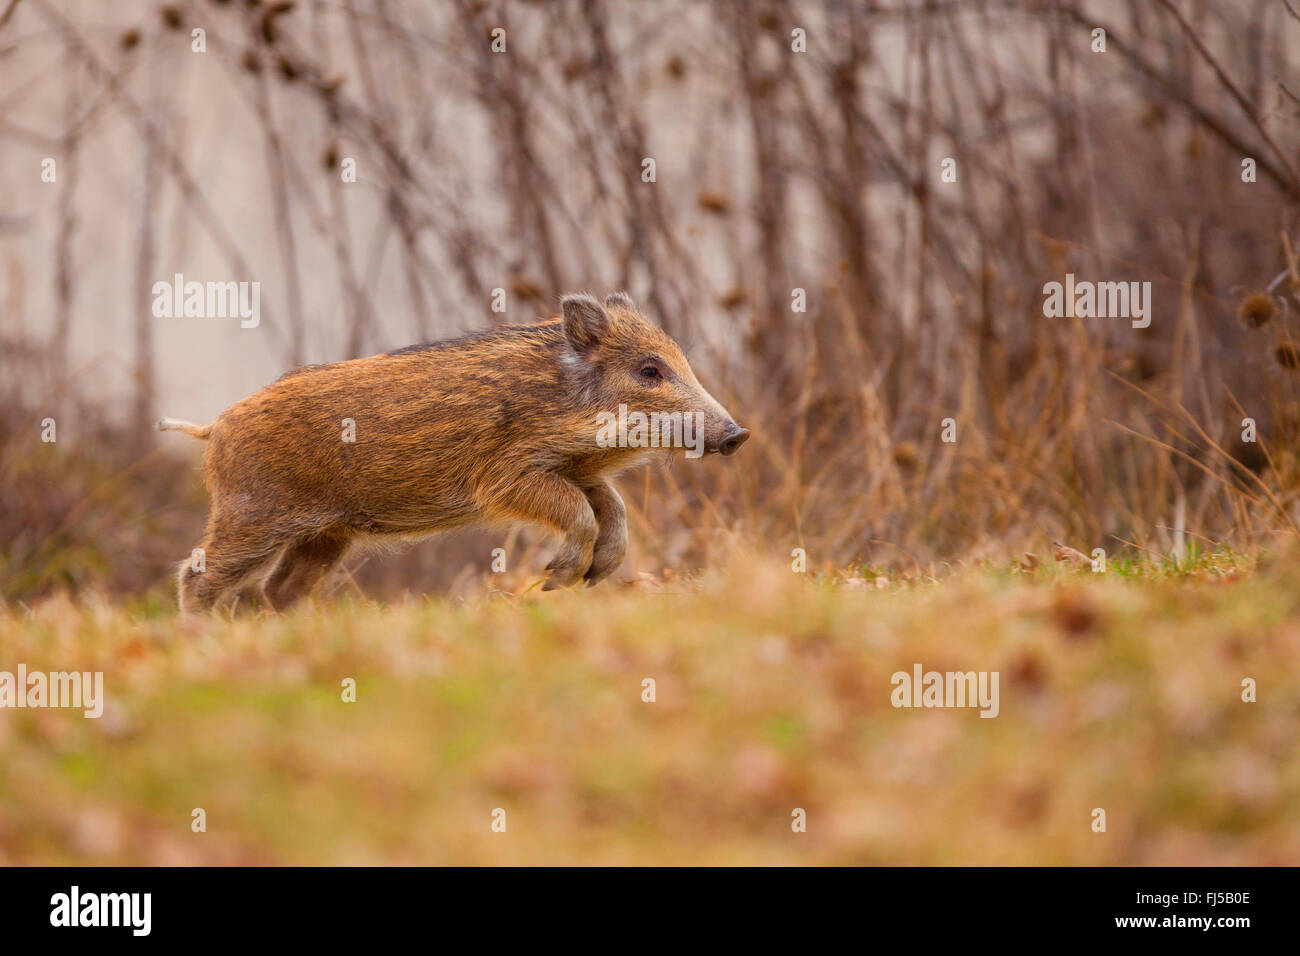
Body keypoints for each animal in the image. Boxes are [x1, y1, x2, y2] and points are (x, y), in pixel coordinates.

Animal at [159, 292, 749, 612]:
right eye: (649, 370)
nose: (736, 435)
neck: (563, 397)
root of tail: (213, 428)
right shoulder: (506, 477)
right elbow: (580, 513)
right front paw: (555, 580)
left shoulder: (578, 470)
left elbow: (612, 507)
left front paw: (595, 577)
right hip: (253, 514)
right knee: (198, 575)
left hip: (325, 536)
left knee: (279, 589)